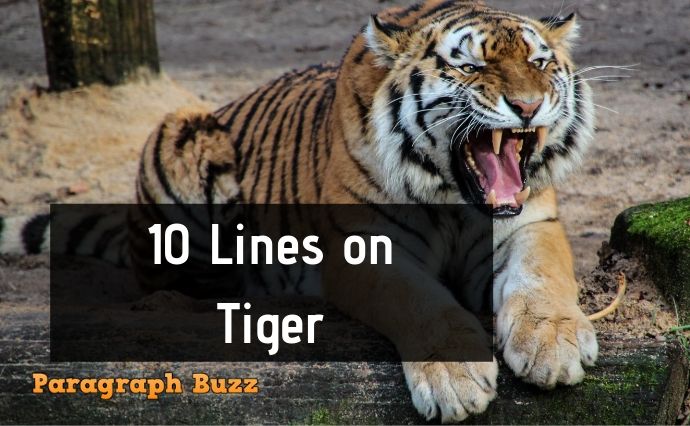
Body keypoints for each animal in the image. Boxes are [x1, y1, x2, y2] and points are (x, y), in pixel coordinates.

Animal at [0, 0, 598, 422]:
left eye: (539, 62)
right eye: (472, 66)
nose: (528, 106)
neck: (452, 197)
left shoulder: (529, 223)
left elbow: (542, 276)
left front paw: (553, 344)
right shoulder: (364, 249)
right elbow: (424, 302)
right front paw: (455, 379)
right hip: (181, 132)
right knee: (169, 284)